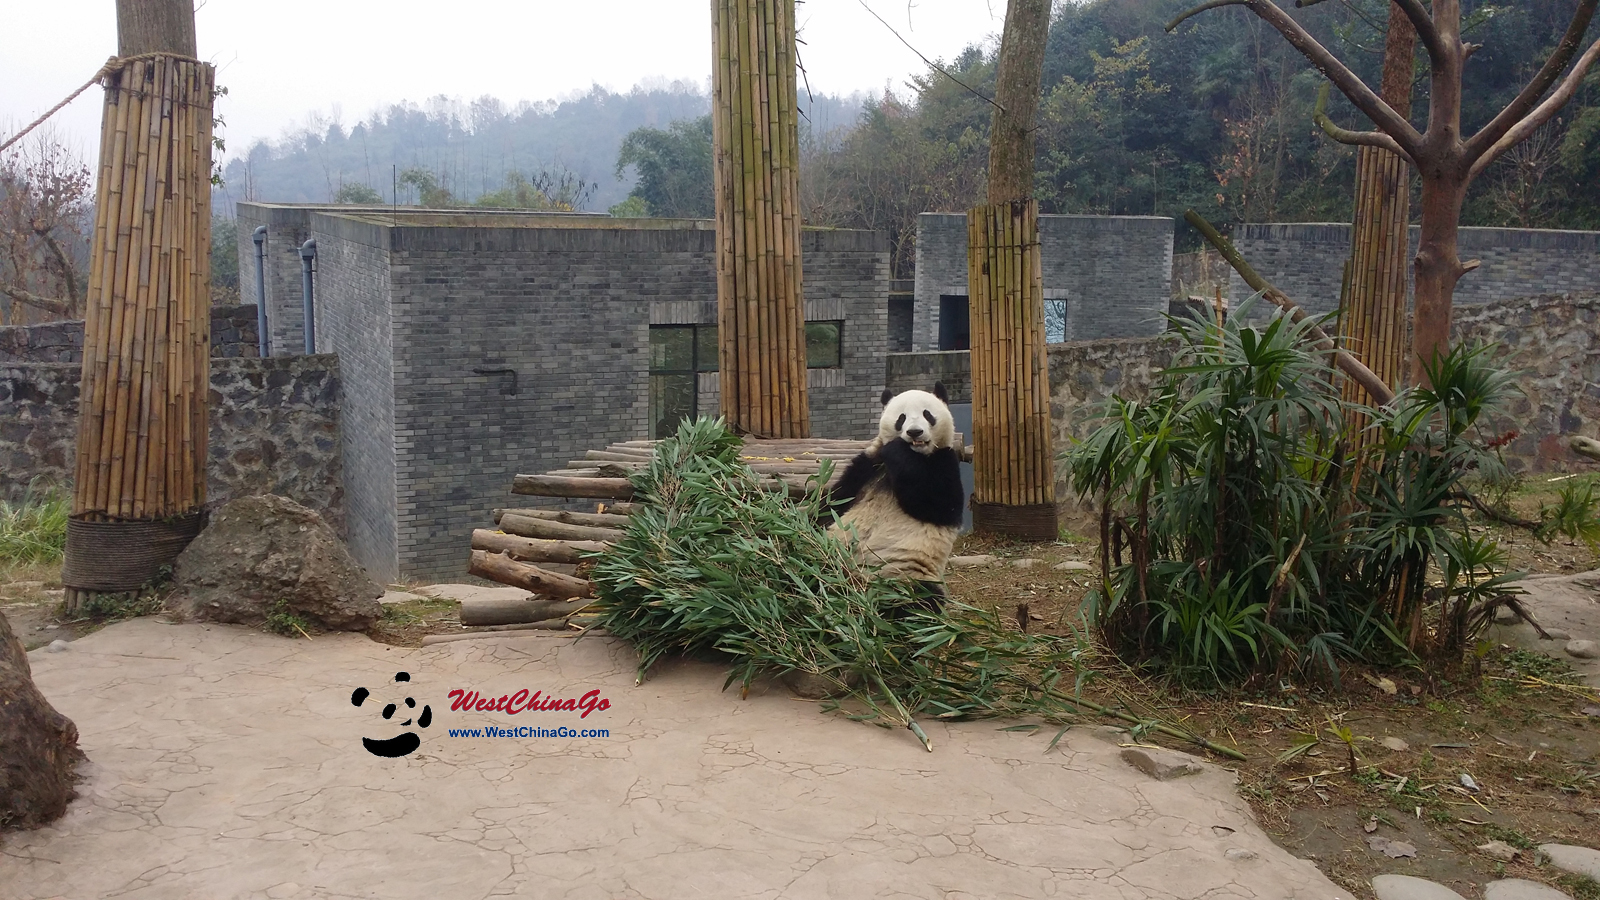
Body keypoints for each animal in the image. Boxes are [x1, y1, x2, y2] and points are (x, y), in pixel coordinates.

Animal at [824, 383, 966, 604]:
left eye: (927, 414)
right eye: (901, 418)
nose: (915, 432)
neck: (917, 456)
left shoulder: (944, 460)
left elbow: (939, 505)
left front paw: (898, 450)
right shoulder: (870, 466)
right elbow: (834, 502)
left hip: (906, 576)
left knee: (921, 600)